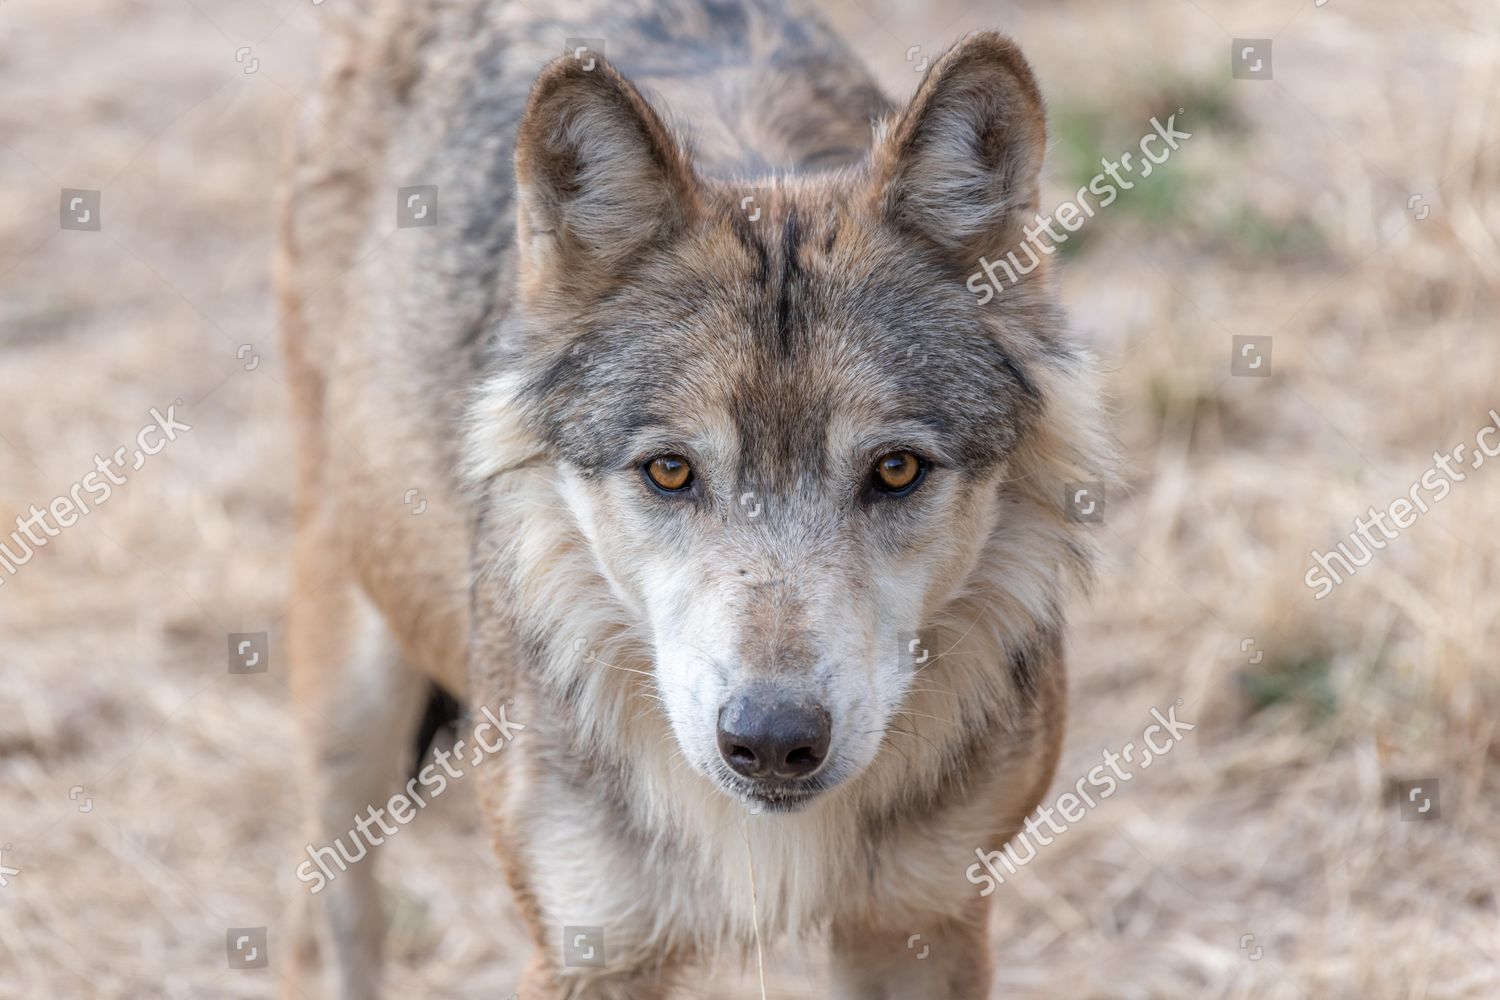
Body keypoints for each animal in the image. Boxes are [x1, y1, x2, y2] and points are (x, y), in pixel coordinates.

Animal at [276, 0, 1111, 996]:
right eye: (671, 472)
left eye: (897, 470)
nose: (774, 739)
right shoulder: (591, 948)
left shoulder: (922, 924)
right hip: (348, 706)